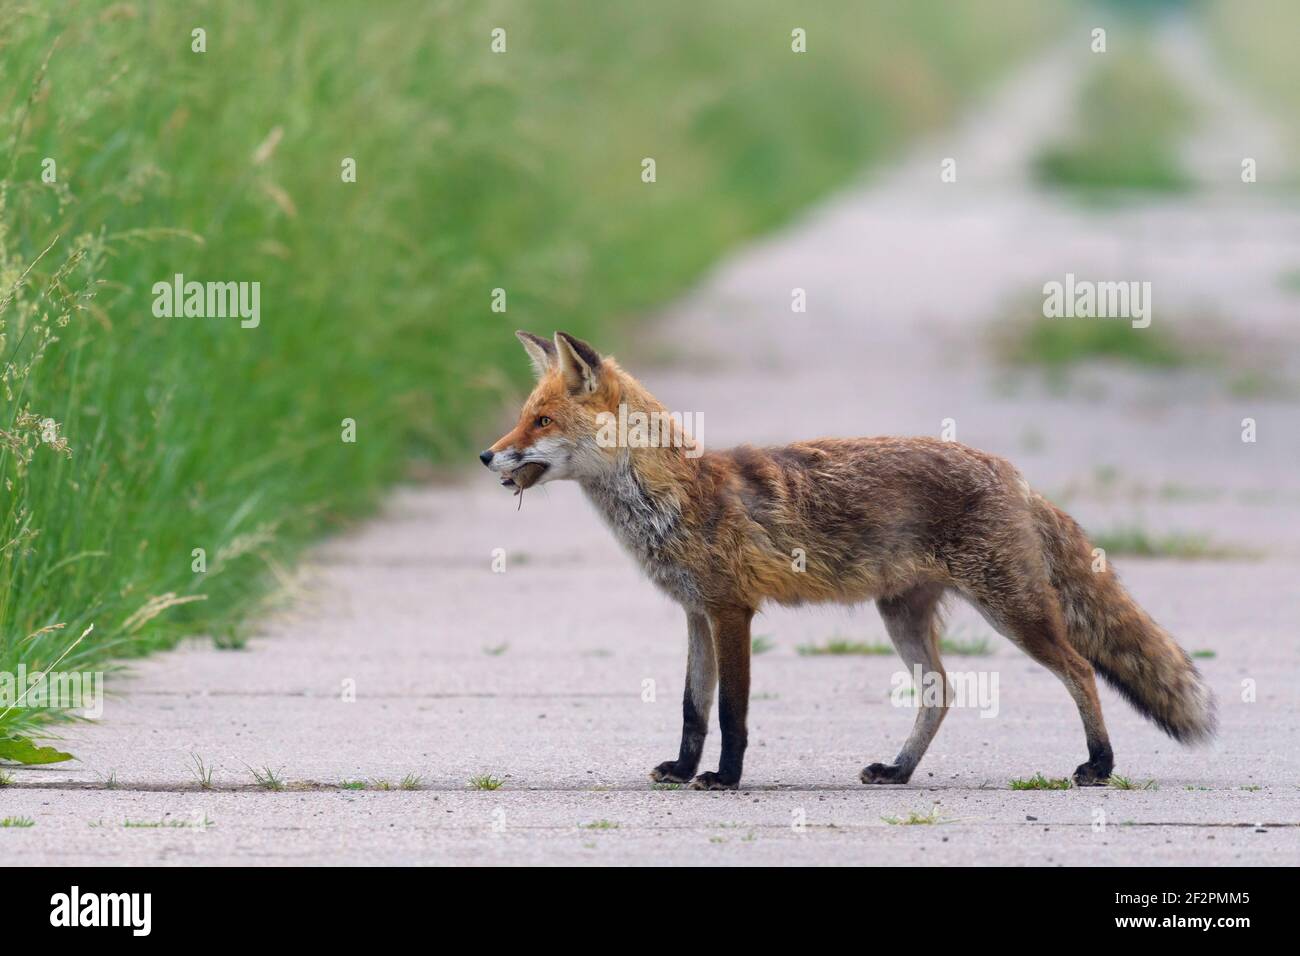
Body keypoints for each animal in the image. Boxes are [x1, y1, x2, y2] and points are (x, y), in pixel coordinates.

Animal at [481, 330, 1217, 790]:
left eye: (541, 421)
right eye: (523, 416)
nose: (486, 455)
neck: (674, 498)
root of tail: (1010, 471)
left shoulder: (732, 611)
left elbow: (732, 713)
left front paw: (724, 779)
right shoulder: (695, 614)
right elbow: (693, 709)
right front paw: (685, 771)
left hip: (1012, 610)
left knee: (1079, 671)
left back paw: (1100, 765)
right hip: (901, 615)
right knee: (941, 693)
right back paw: (899, 770)